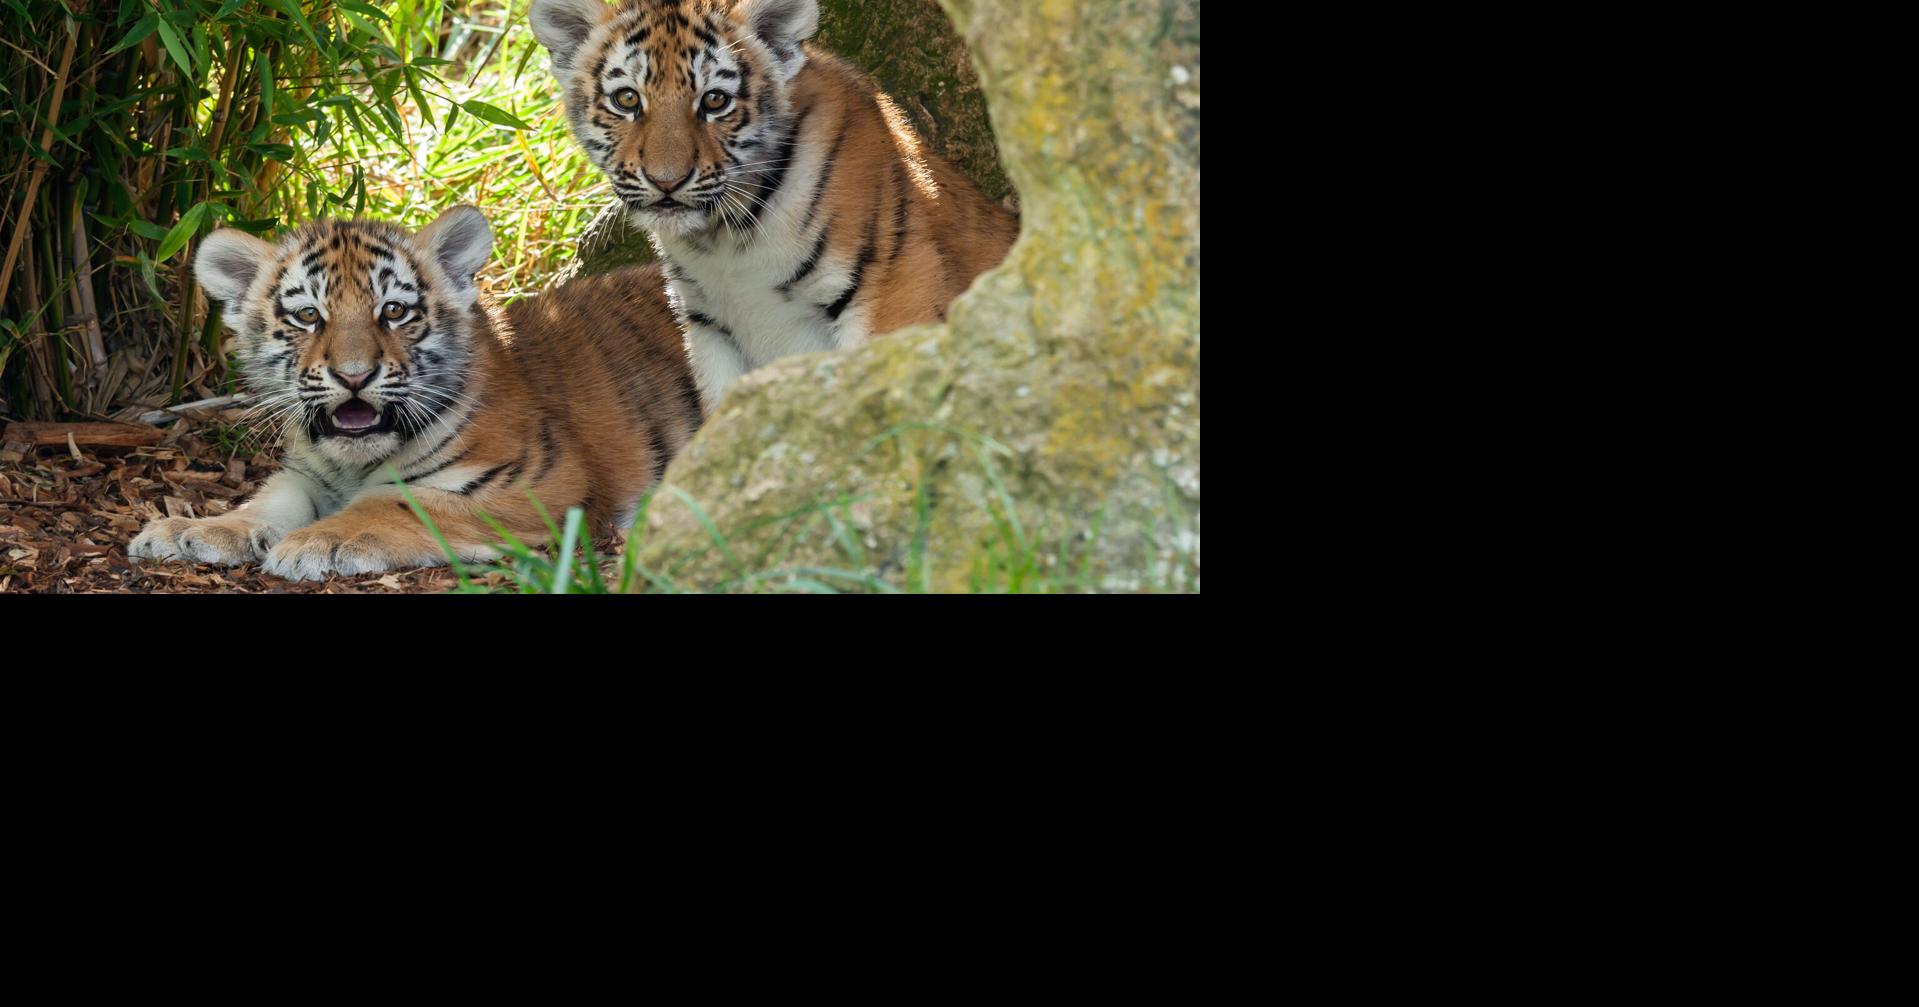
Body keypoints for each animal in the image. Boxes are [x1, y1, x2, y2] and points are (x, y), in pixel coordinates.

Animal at [127, 206, 702, 581]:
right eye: (309, 315)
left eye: (395, 311)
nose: (353, 376)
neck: (350, 463)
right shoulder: (307, 471)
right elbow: (268, 500)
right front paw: (189, 530)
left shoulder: (543, 481)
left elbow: (396, 501)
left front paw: (318, 541)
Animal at [528, 0, 1020, 411]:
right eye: (627, 99)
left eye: (715, 100)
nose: (667, 180)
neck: (725, 241)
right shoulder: (711, 329)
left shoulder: (894, 290)